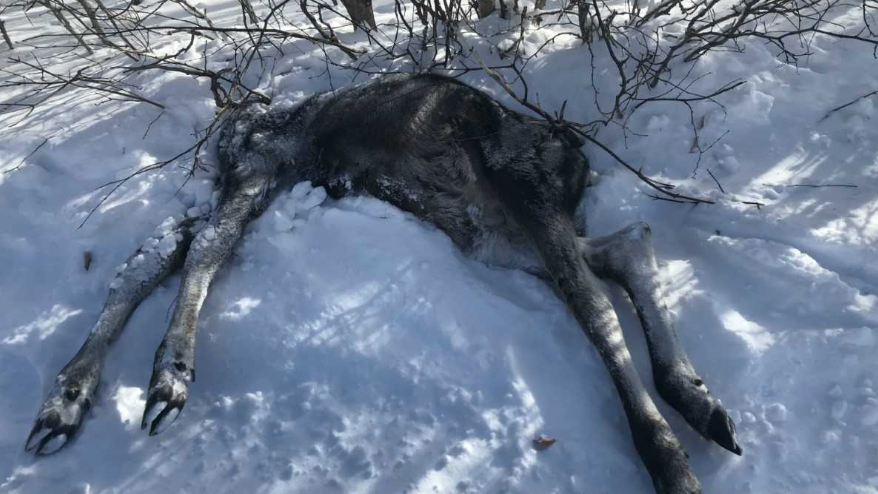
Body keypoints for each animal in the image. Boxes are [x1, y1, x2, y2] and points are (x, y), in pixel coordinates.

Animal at [25, 73, 741, 494]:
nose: (222, 150)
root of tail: (576, 155)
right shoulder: (249, 174)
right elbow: (153, 258)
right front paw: (73, 394)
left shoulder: (262, 166)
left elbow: (196, 251)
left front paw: (169, 374)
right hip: (486, 228)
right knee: (623, 248)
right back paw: (694, 396)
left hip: (519, 191)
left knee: (595, 299)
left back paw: (668, 453)